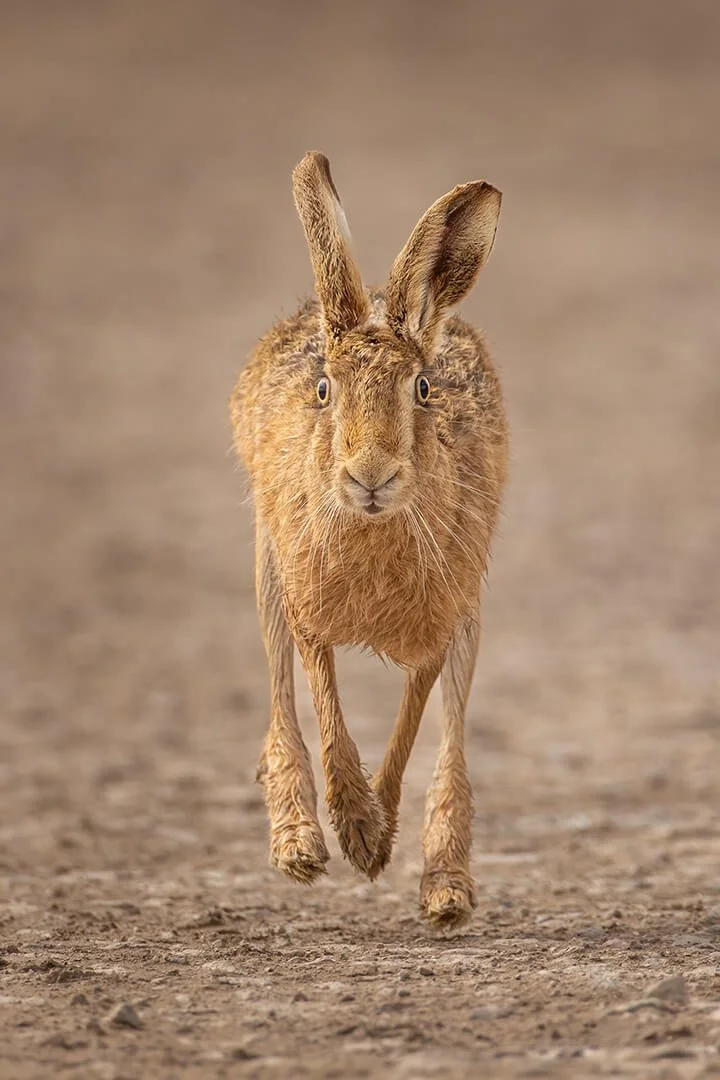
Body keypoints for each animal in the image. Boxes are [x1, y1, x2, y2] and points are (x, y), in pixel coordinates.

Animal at [230, 152, 508, 929]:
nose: (370, 475)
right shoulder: (305, 604)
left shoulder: (444, 619)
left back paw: (446, 890)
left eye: (423, 389)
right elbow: (325, 709)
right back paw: (296, 842)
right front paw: (350, 829)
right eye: (325, 391)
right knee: (280, 701)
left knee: (452, 741)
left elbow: (413, 723)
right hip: (266, 570)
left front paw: (373, 837)